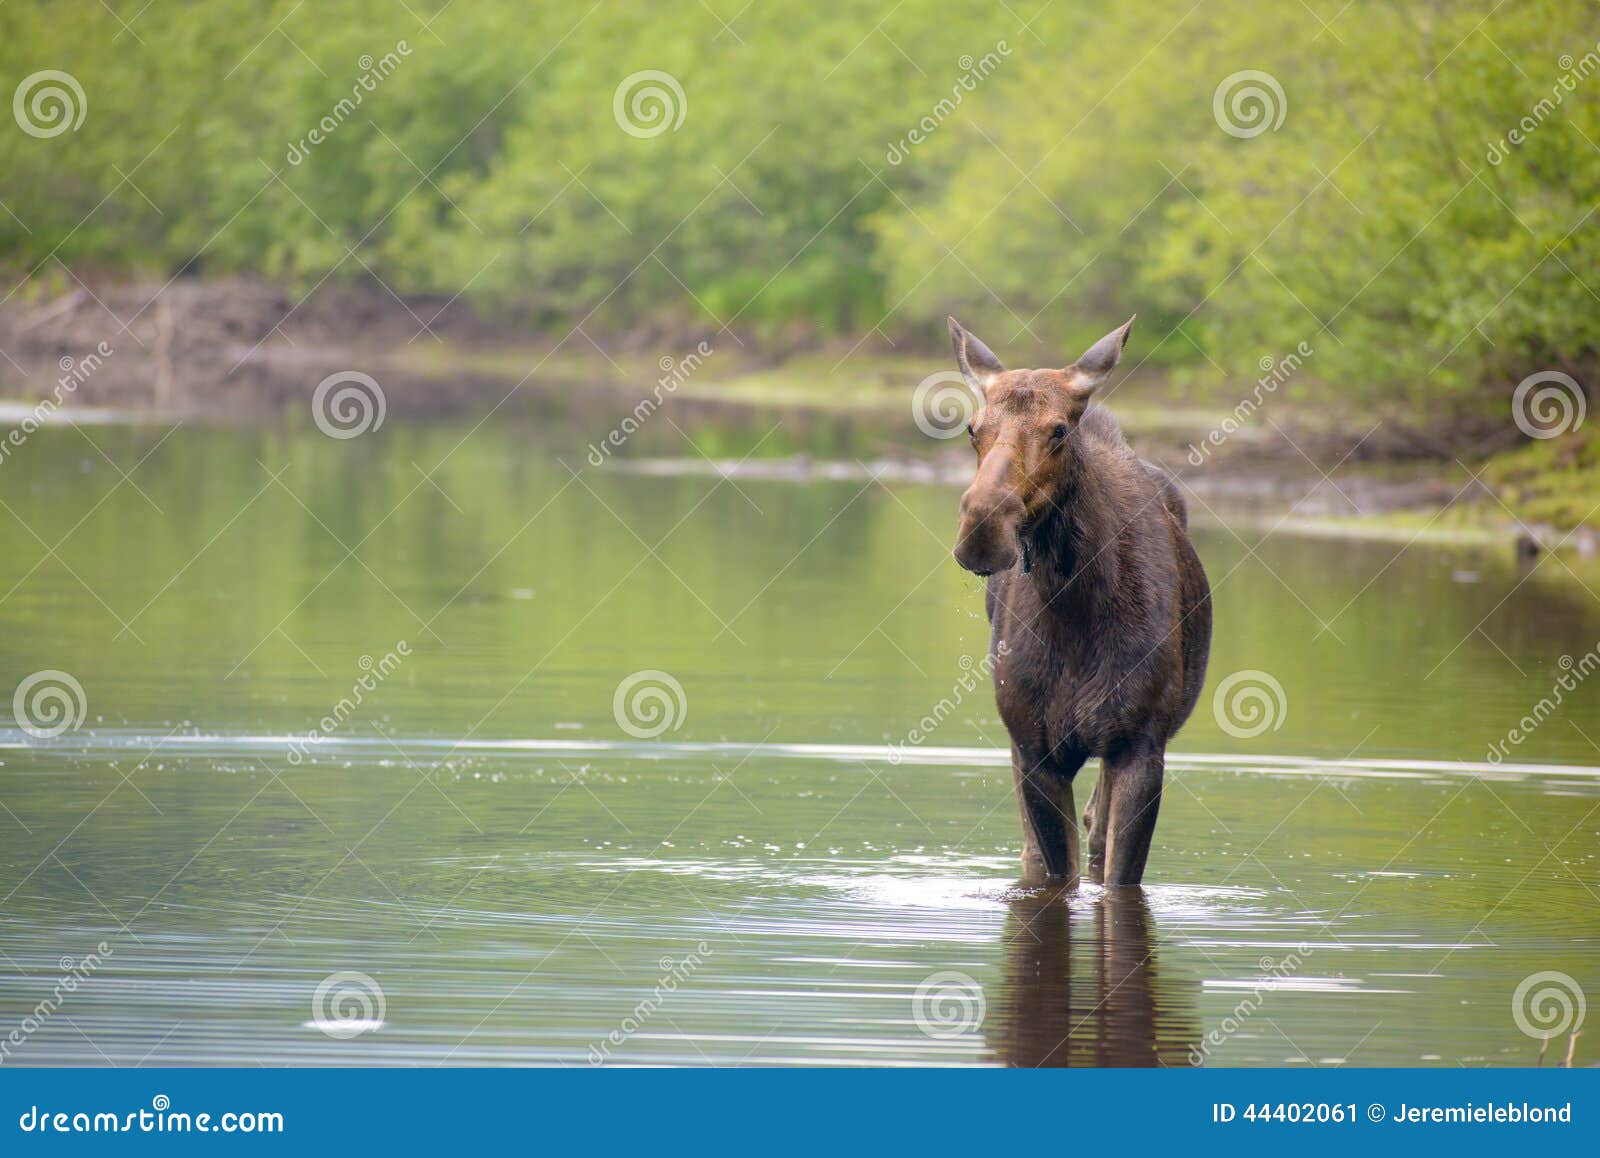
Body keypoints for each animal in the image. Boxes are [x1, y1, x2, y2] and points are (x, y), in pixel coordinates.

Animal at [945, 315, 1211, 887]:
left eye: (1059, 430)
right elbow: (1055, 877)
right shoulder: (1036, 752)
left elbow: (1115, 874)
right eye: (972, 428)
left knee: (1095, 825)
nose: (982, 526)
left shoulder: (1140, 746)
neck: (1077, 613)